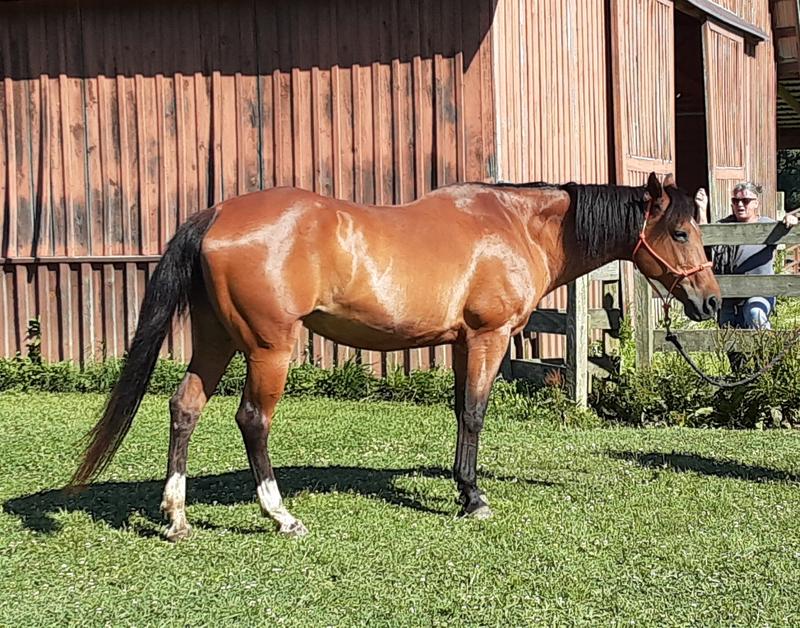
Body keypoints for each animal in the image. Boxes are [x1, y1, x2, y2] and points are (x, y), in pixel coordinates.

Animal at [69, 171, 720, 540]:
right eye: (681, 233)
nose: (711, 301)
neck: (517, 226)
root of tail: (219, 214)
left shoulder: (460, 343)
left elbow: (460, 413)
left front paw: (462, 488)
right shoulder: (488, 338)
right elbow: (476, 413)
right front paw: (475, 498)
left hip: (216, 339)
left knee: (185, 408)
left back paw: (176, 516)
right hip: (267, 347)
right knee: (253, 420)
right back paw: (281, 516)